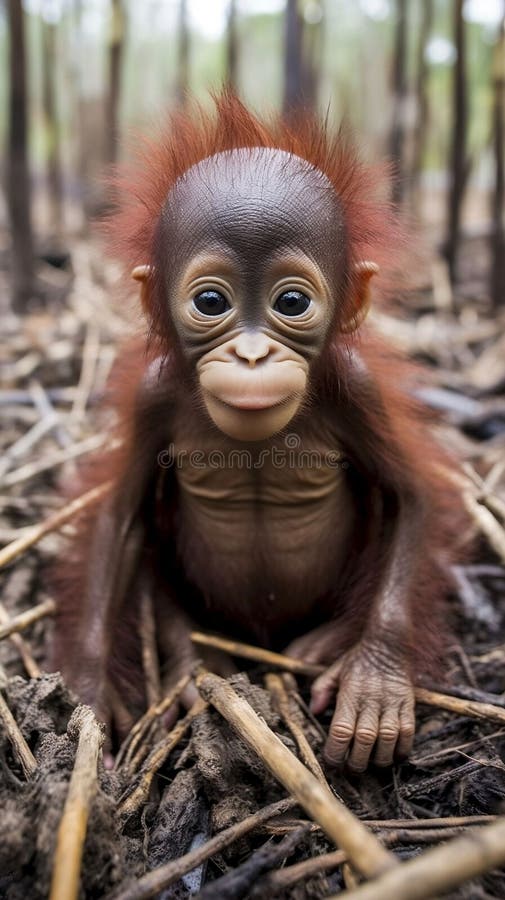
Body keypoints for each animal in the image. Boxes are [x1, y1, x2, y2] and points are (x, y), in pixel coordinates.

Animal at [52, 95, 466, 773]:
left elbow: (412, 497)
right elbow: (119, 516)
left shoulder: (359, 388)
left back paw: (329, 643)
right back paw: (192, 656)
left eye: (291, 302)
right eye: (212, 302)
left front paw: (376, 682)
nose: (251, 355)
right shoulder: (151, 395)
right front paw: (87, 692)